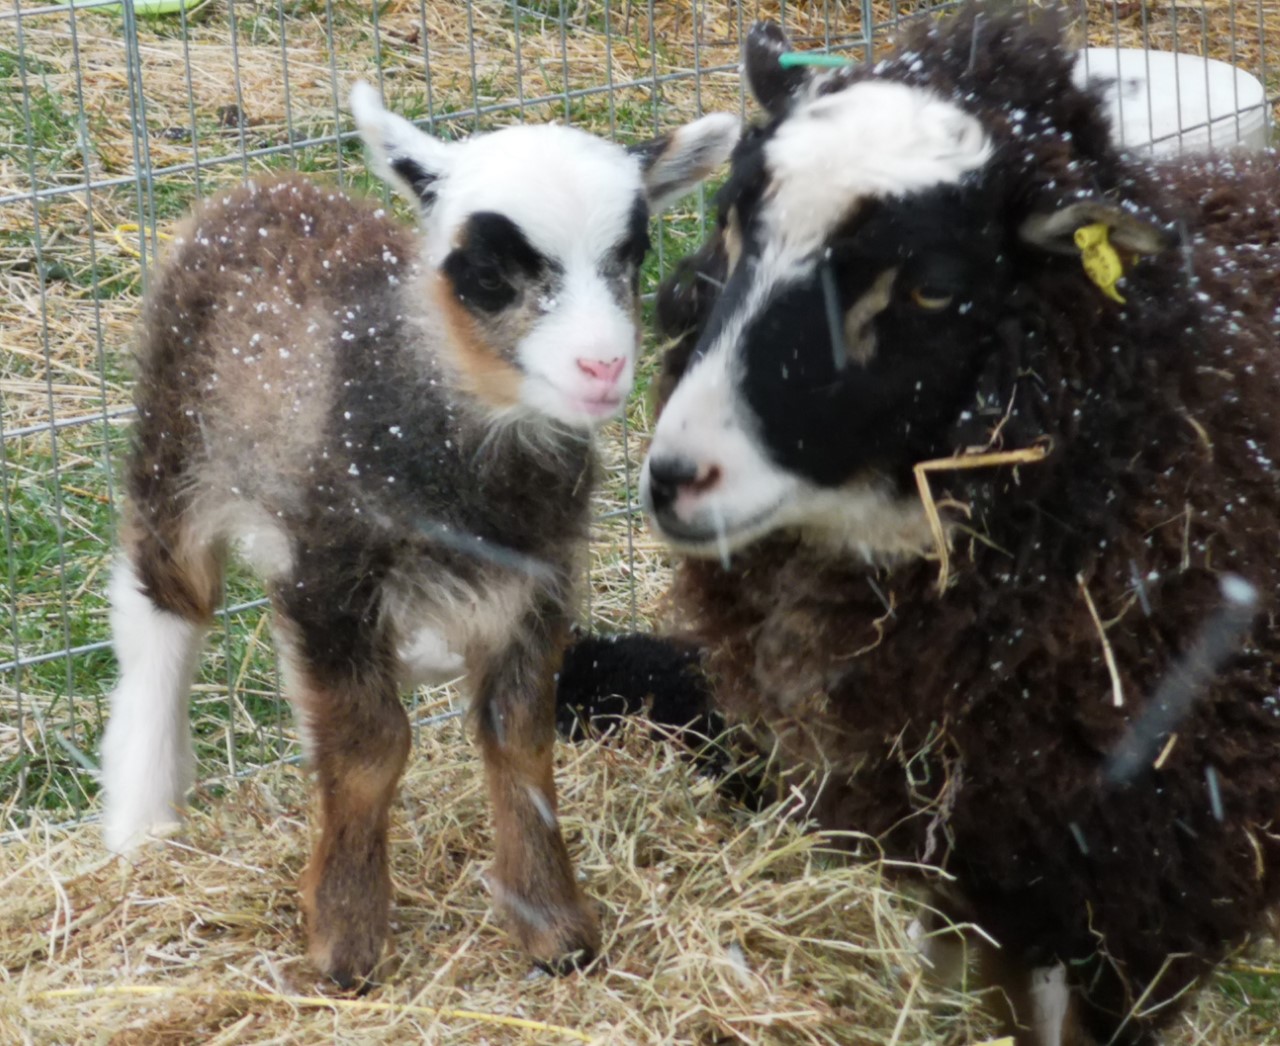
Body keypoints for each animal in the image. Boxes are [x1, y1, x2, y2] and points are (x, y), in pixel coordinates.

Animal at [98, 82, 738, 986]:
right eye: (487, 273)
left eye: (632, 257)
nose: (603, 368)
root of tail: (254, 191)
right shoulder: (327, 573)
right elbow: (372, 745)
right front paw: (345, 939)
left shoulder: (539, 576)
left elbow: (518, 734)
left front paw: (554, 930)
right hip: (175, 437)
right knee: (163, 606)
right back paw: (143, 815)